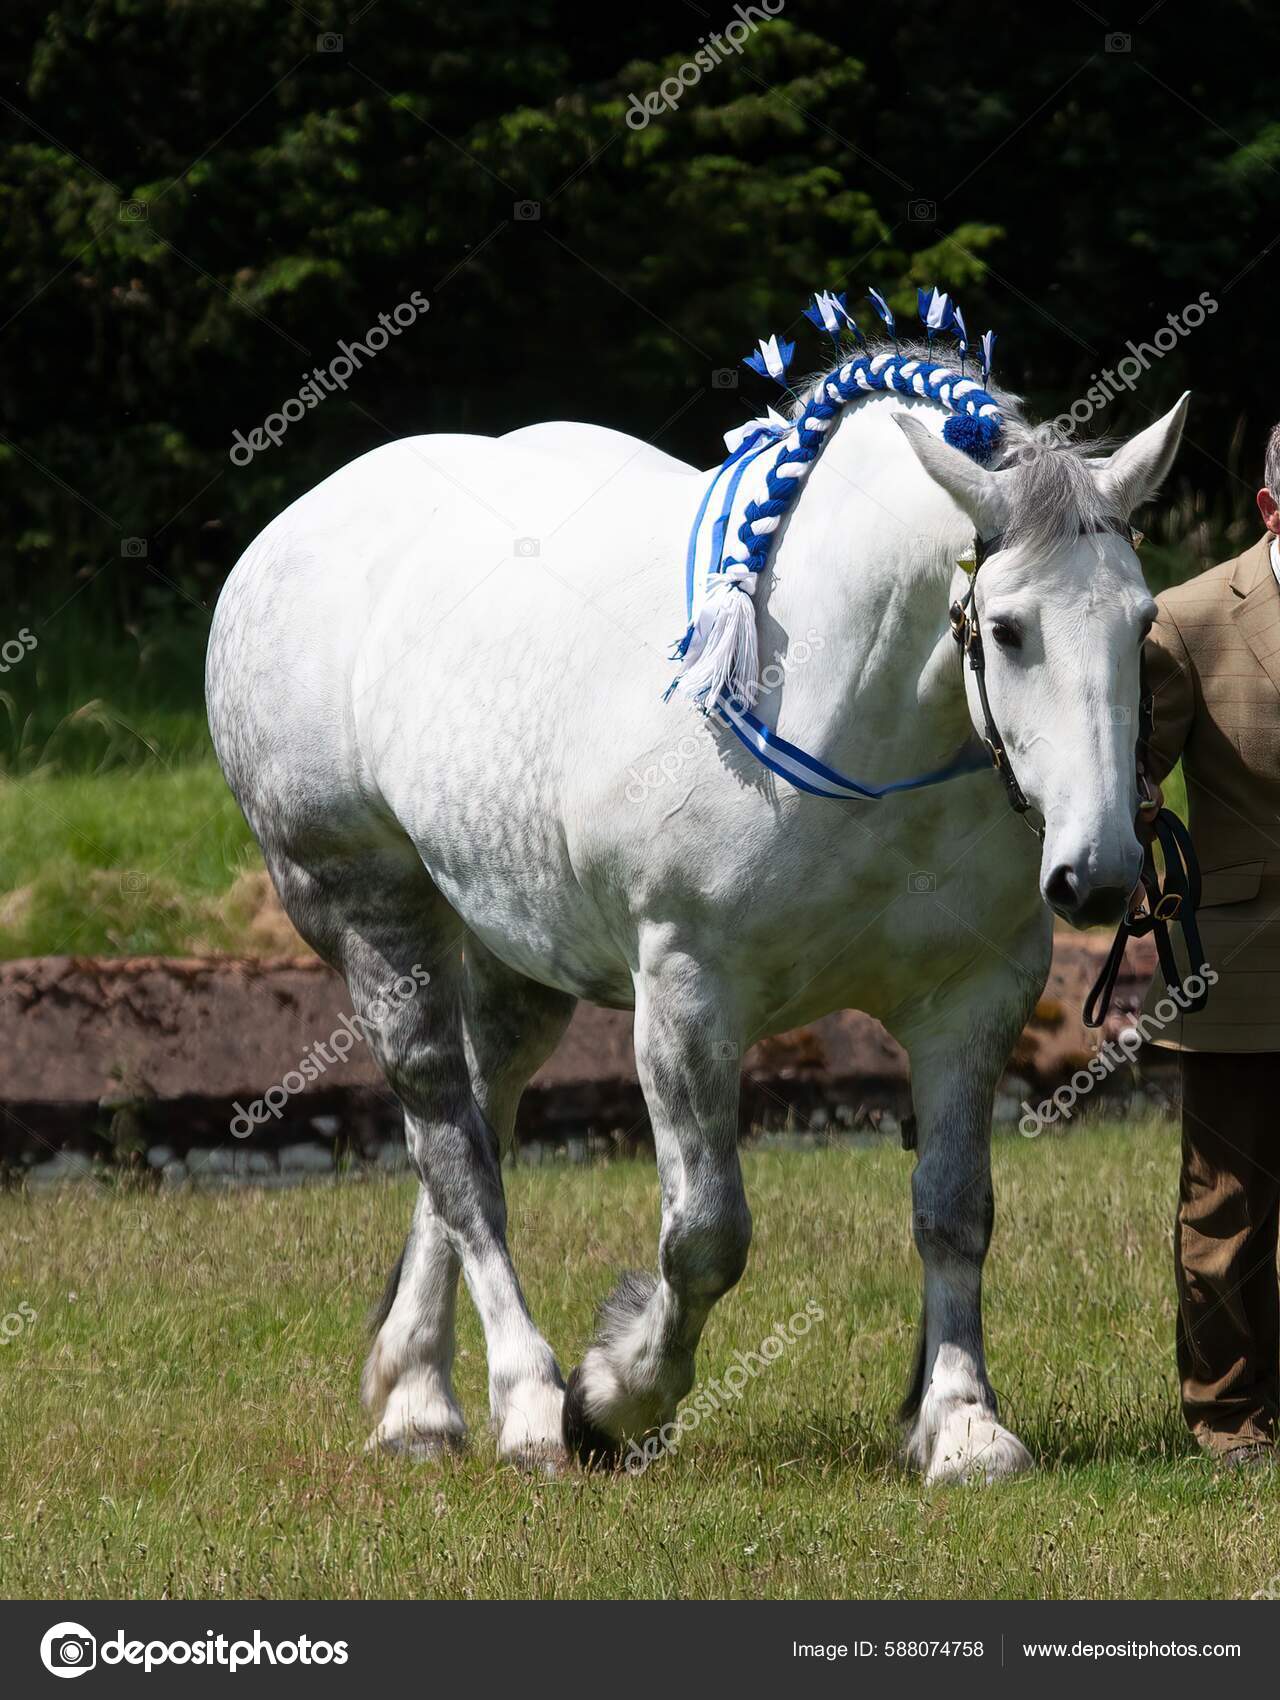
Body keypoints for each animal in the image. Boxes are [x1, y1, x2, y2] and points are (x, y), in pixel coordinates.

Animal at [206, 335, 1187, 1484]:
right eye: (1007, 627)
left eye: (1143, 622)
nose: (1099, 873)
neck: (849, 729)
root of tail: (286, 536)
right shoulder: (684, 1001)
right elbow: (706, 1235)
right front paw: (614, 1398)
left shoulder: (971, 1000)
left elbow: (954, 1212)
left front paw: (961, 1424)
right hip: (372, 915)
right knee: (454, 1149)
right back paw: (526, 1402)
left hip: (512, 958)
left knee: (472, 1117)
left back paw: (415, 1395)